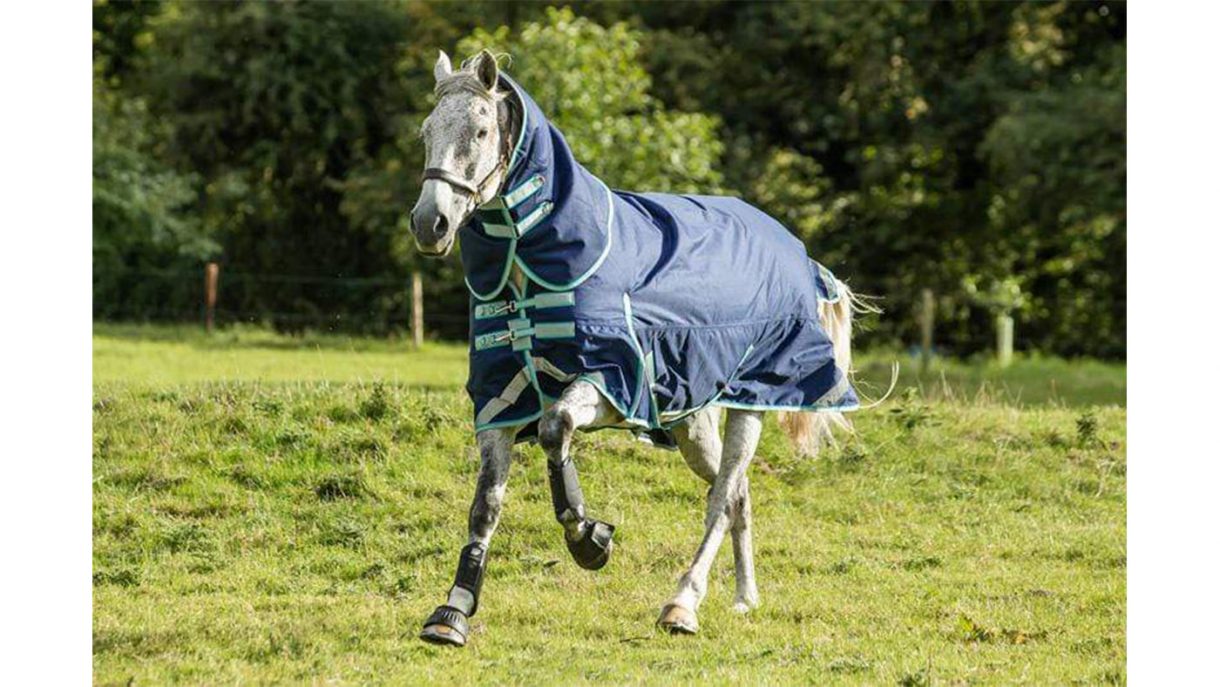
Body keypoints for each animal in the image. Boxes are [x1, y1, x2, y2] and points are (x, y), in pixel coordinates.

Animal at [409, 49, 866, 647]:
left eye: (481, 131)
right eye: (426, 132)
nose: (430, 224)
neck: (536, 267)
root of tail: (795, 248)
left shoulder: (611, 382)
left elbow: (556, 429)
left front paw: (589, 539)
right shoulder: (500, 400)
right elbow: (485, 504)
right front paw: (453, 610)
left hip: (751, 402)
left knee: (722, 499)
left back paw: (682, 604)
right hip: (692, 421)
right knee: (738, 493)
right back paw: (744, 598)